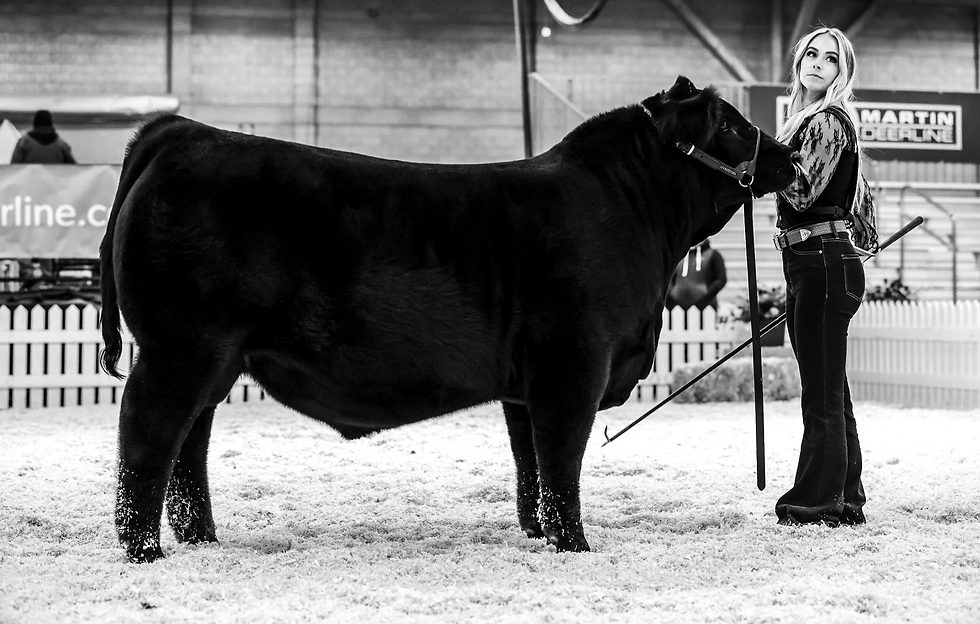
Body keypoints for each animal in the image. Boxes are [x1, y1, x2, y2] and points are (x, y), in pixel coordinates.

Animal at [100, 76, 800, 563]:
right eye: (731, 125)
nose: (792, 157)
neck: (635, 215)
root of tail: (183, 131)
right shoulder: (573, 364)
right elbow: (562, 460)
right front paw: (573, 544)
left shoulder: (526, 386)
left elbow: (530, 465)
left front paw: (538, 536)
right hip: (180, 348)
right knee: (149, 436)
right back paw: (145, 552)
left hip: (214, 360)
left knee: (189, 444)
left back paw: (202, 540)